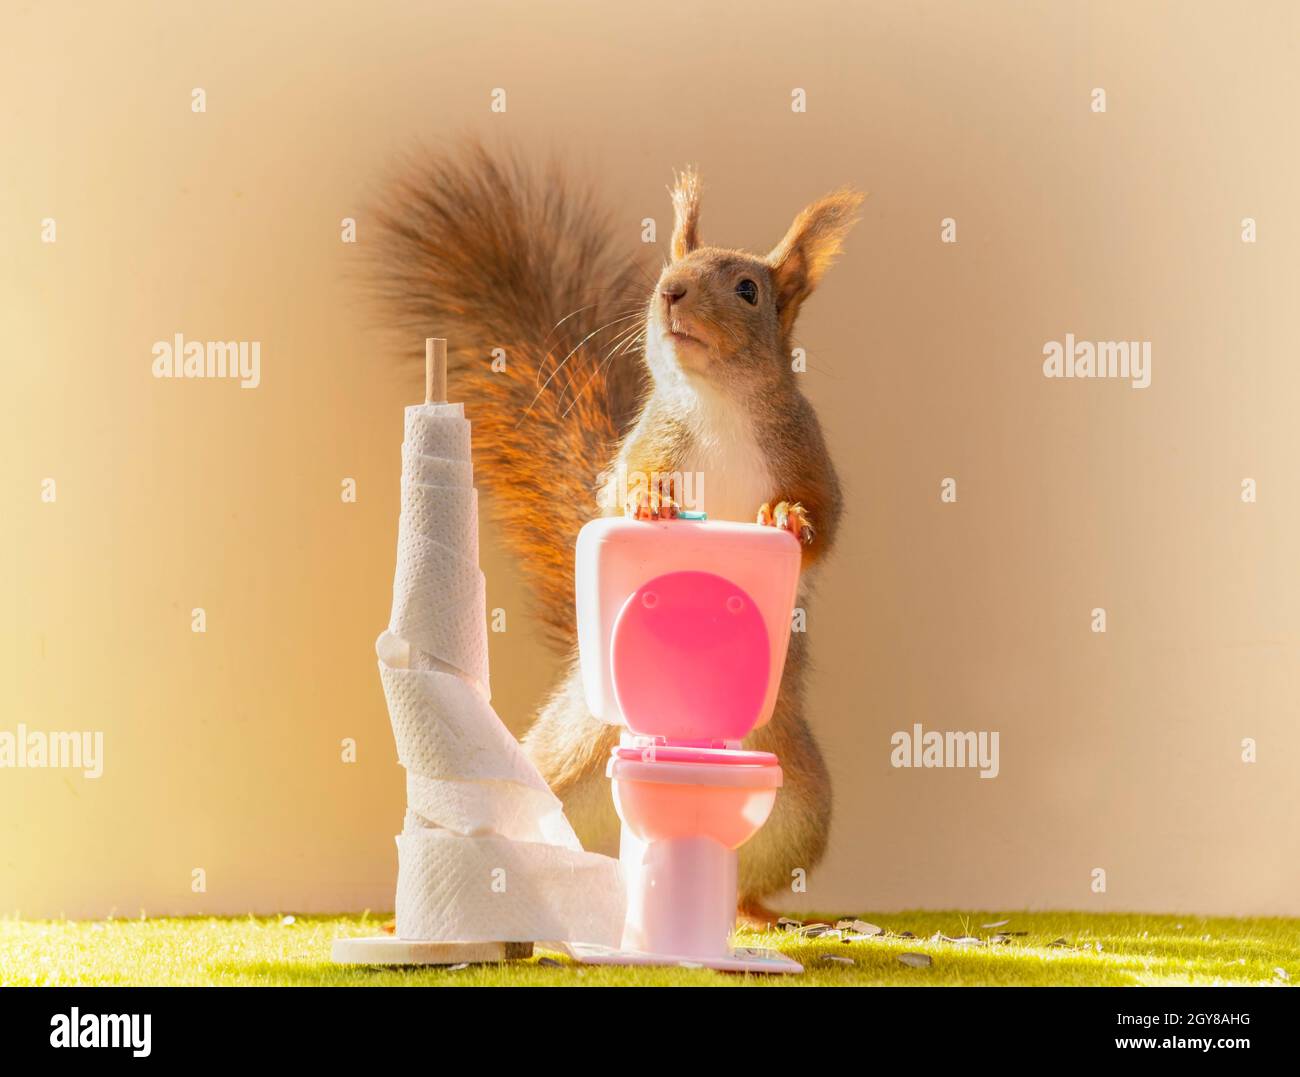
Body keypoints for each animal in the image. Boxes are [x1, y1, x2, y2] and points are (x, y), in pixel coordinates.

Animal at [373, 143, 863, 920]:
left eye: (749, 289)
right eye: (670, 269)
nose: (671, 292)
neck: (717, 402)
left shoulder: (806, 451)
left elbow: (827, 518)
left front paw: (787, 518)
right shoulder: (651, 438)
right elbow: (612, 491)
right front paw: (650, 501)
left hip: (796, 805)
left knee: (748, 872)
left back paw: (754, 912)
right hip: (569, 753)